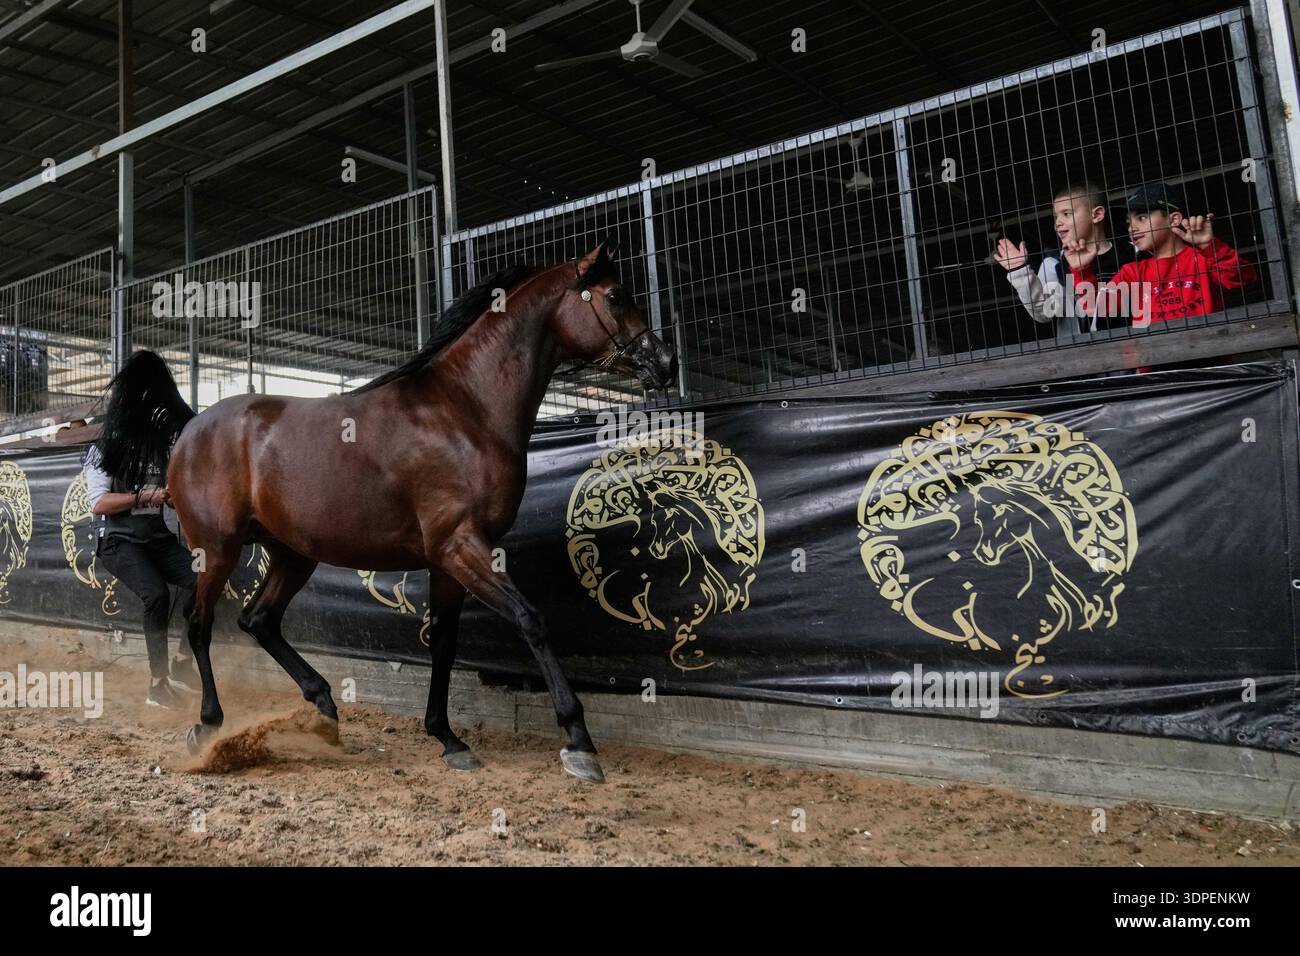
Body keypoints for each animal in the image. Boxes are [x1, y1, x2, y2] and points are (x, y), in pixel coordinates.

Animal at [159, 239, 675, 782]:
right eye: (616, 295)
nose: (666, 362)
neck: (464, 410)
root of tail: (190, 428)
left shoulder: (448, 561)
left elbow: (444, 642)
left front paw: (448, 738)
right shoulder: (461, 546)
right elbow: (530, 619)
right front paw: (578, 742)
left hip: (294, 553)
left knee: (258, 620)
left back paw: (323, 709)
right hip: (217, 549)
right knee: (199, 624)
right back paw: (208, 726)